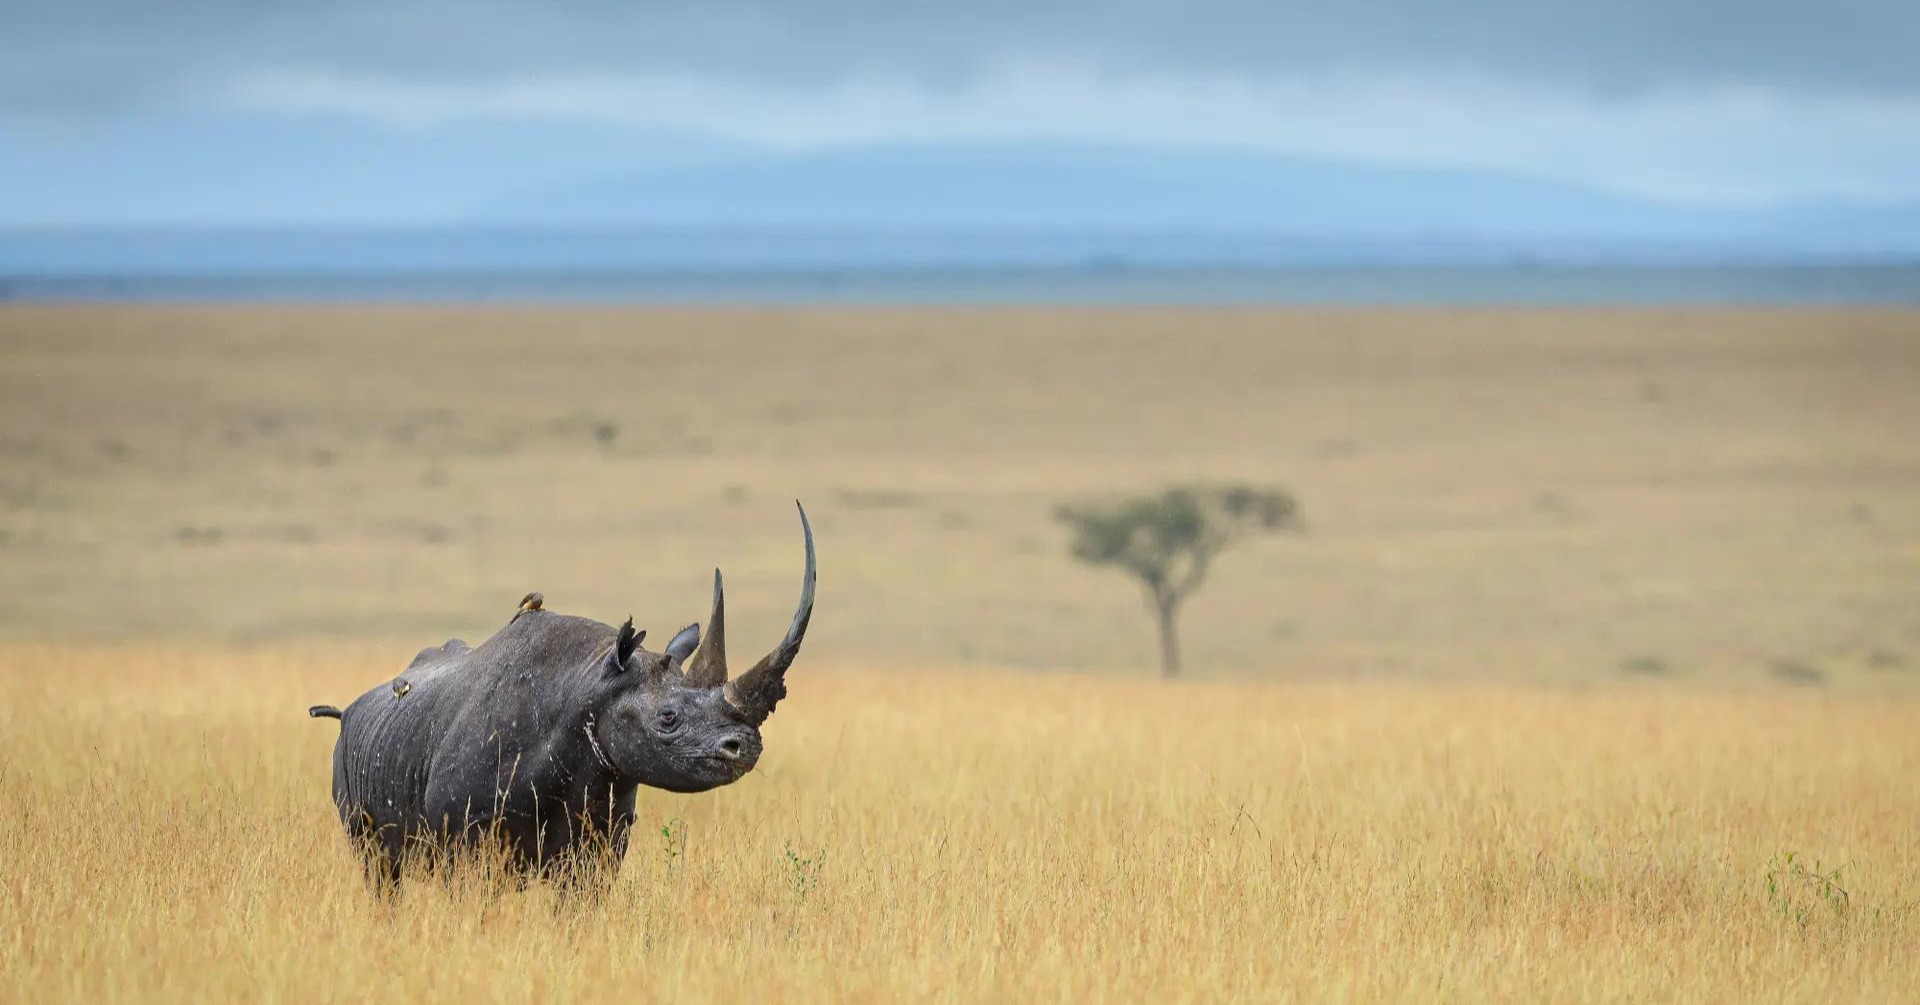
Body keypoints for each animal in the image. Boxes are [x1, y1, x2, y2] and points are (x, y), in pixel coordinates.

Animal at [307, 503, 815, 884]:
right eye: (667, 718)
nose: (745, 746)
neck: (591, 685)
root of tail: (348, 711)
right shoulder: (465, 840)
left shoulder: (600, 844)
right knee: (380, 871)